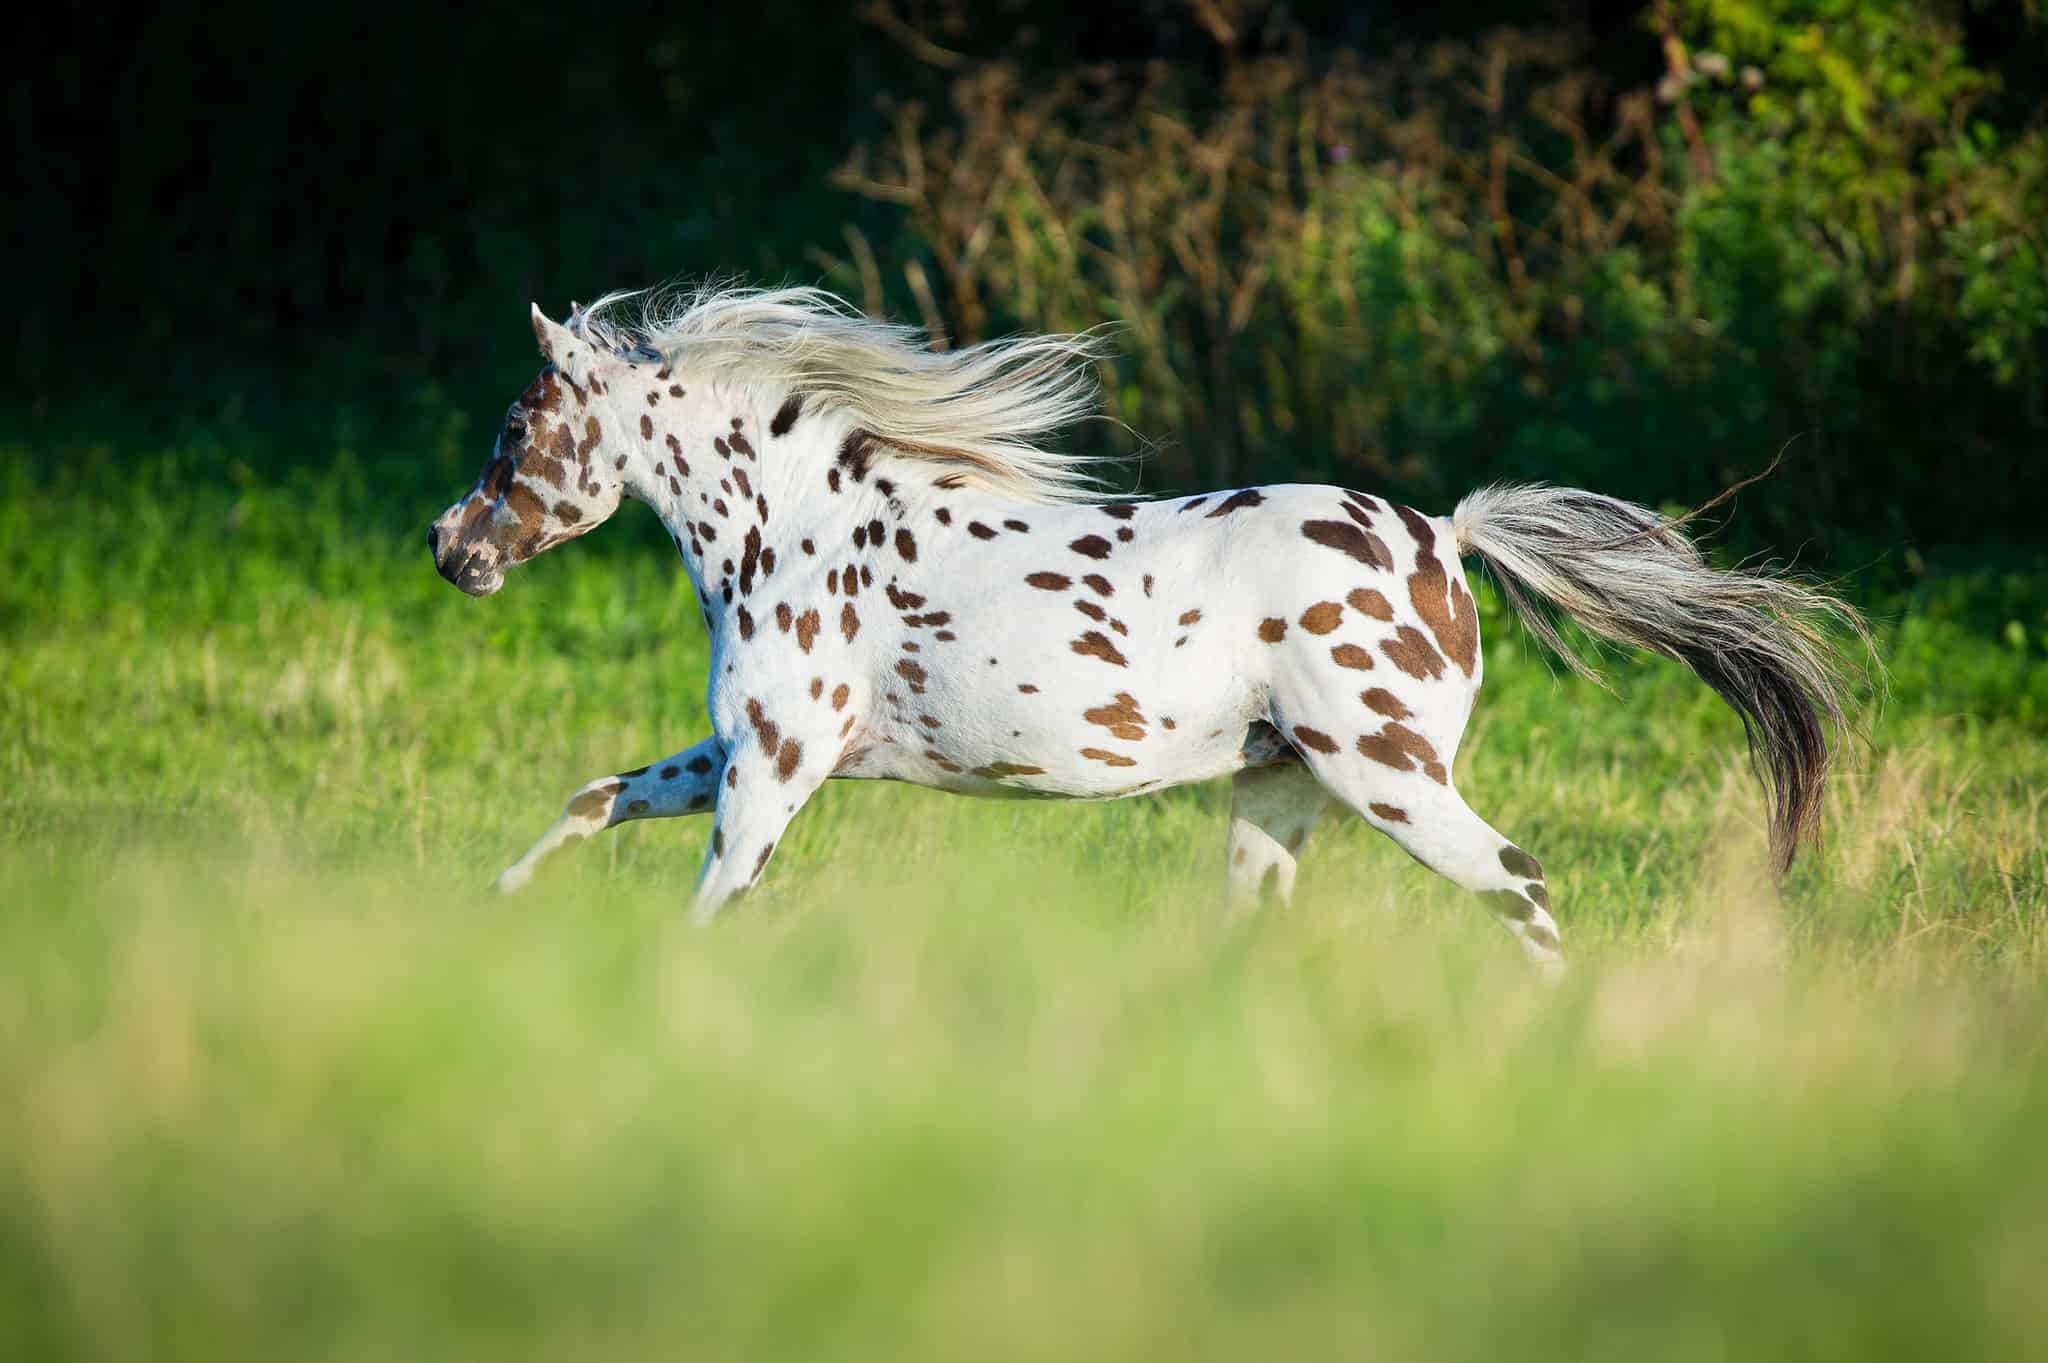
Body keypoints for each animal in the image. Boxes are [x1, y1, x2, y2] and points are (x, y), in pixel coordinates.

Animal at [427, 285, 1868, 964]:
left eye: (517, 427)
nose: (452, 547)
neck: (801, 532)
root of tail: (1446, 541)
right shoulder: (738, 755)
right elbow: (593, 798)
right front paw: (483, 918)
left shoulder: (774, 773)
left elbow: (711, 904)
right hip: (1278, 795)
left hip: (1390, 778)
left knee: (1518, 883)